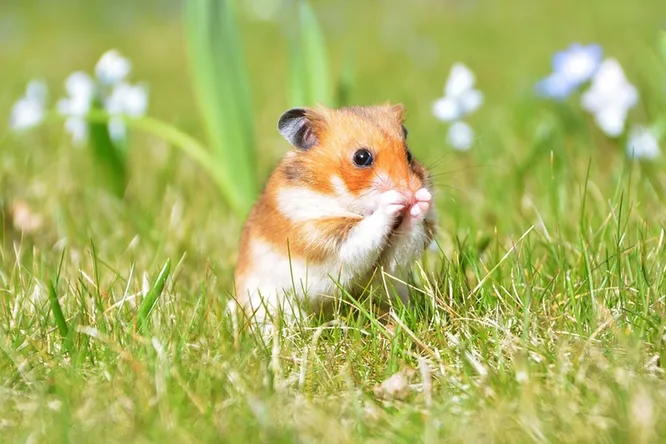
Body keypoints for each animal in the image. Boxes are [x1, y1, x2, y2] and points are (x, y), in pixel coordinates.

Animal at [232, 103, 436, 326]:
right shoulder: (323, 238)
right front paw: (393, 200)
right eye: (361, 157)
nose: (411, 192)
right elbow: (367, 231)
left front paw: (422, 200)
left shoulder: (390, 264)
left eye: (408, 155)